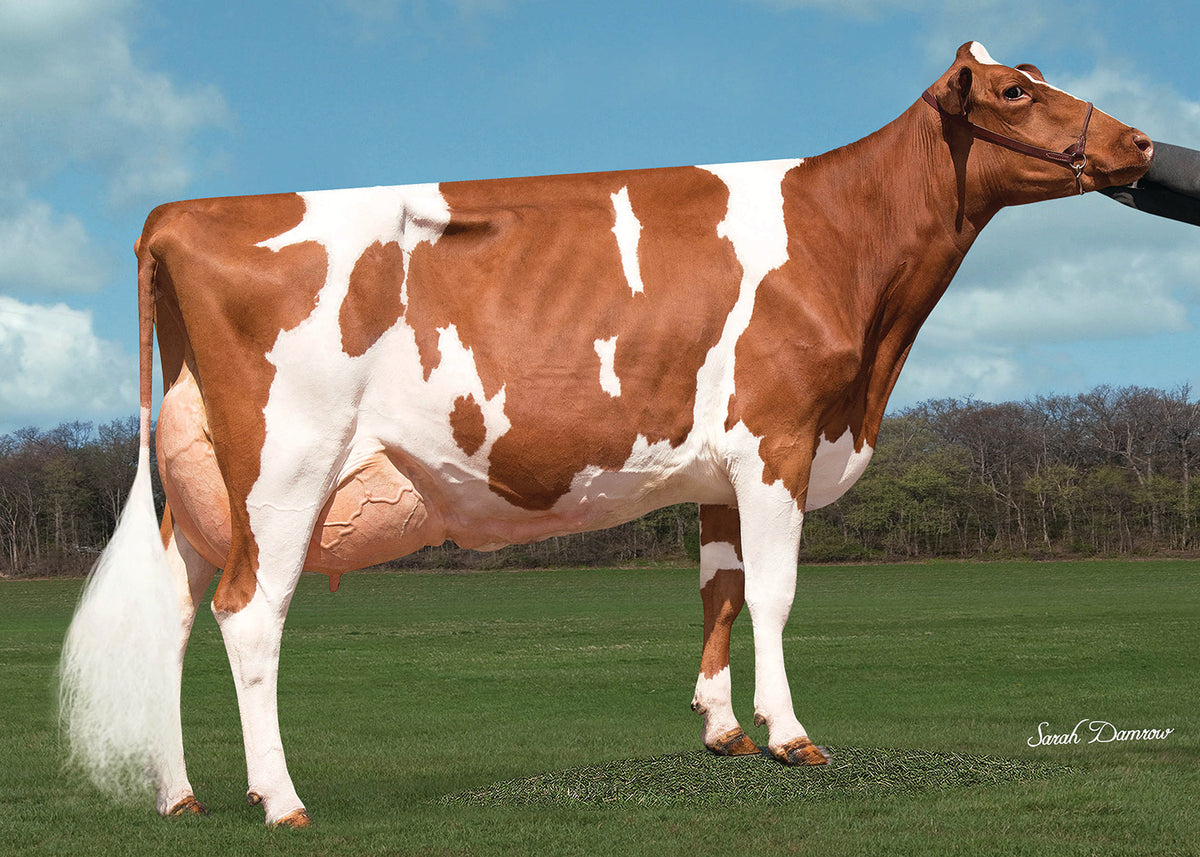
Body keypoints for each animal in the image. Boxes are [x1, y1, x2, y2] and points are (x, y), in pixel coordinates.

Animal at [59, 42, 1153, 827]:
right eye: (1013, 91)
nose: (1141, 142)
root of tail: (177, 212)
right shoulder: (778, 440)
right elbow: (776, 592)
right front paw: (792, 735)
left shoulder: (721, 466)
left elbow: (719, 589)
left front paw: (724, 730)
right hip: (286, 470)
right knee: (251, 617)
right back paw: (279, 798)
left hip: (199, 497)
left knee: (173, 621)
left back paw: (180, 794)